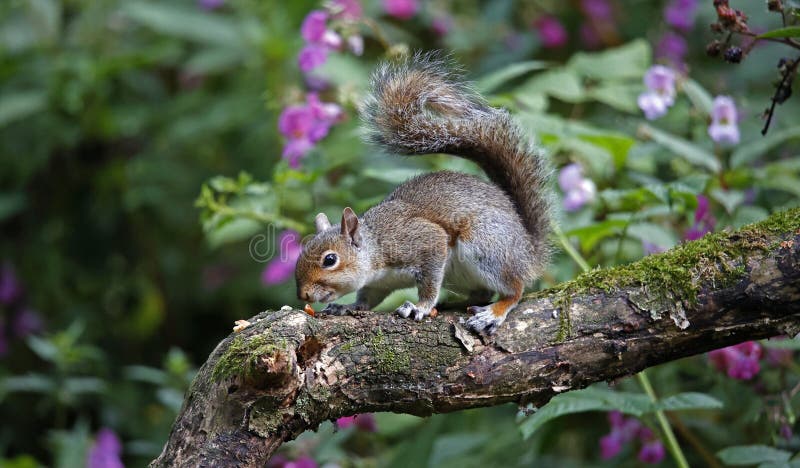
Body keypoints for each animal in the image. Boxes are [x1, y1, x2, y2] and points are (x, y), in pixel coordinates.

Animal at [294, 52, 552, 334]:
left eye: (330, 260)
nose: (303, 295)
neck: (376, 248)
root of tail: (529, 252)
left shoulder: (424, 241)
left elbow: (429, 283)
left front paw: (421, 307)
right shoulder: (377, 284)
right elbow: (367, 299)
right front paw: (348, 307)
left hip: (487, 246)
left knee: (514, 289)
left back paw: (493, 312)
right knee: (482, 293)